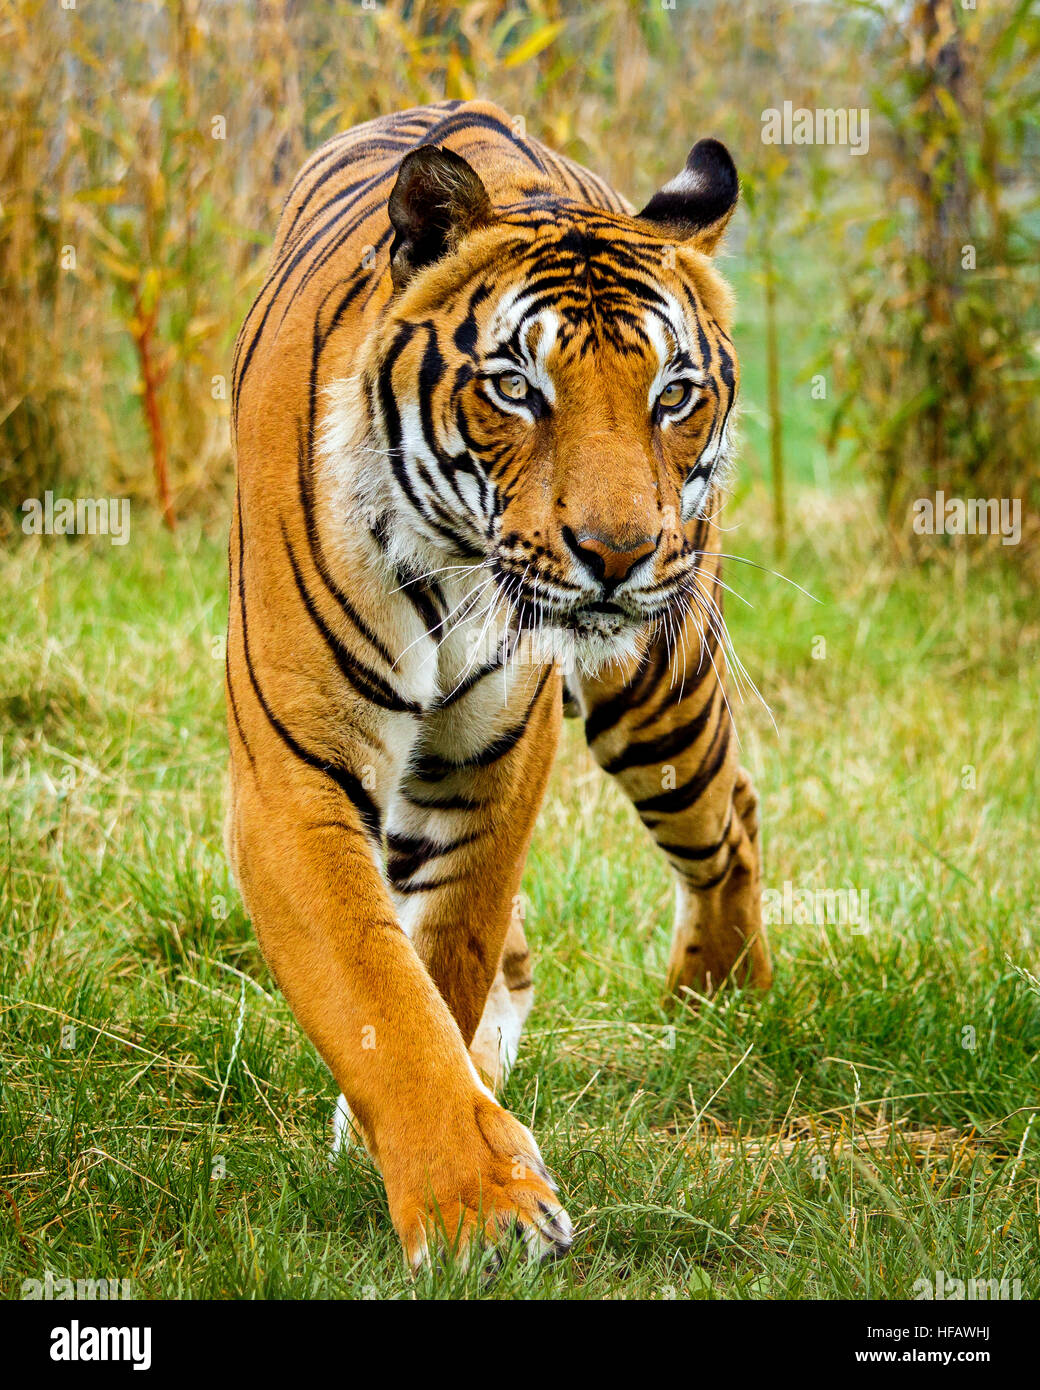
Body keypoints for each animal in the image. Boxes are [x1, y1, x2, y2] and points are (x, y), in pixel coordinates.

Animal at [225, 98, 771, 1270]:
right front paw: (481, 1206)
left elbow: (449, 947)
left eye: (673, 396)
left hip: (656, 687)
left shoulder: (498, 750)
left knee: (731, 812)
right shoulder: (297, 771)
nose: (616, 554)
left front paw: (464, 1181)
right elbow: (380, 993)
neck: (452, 564)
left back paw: (720, 995)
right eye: (517, 388)